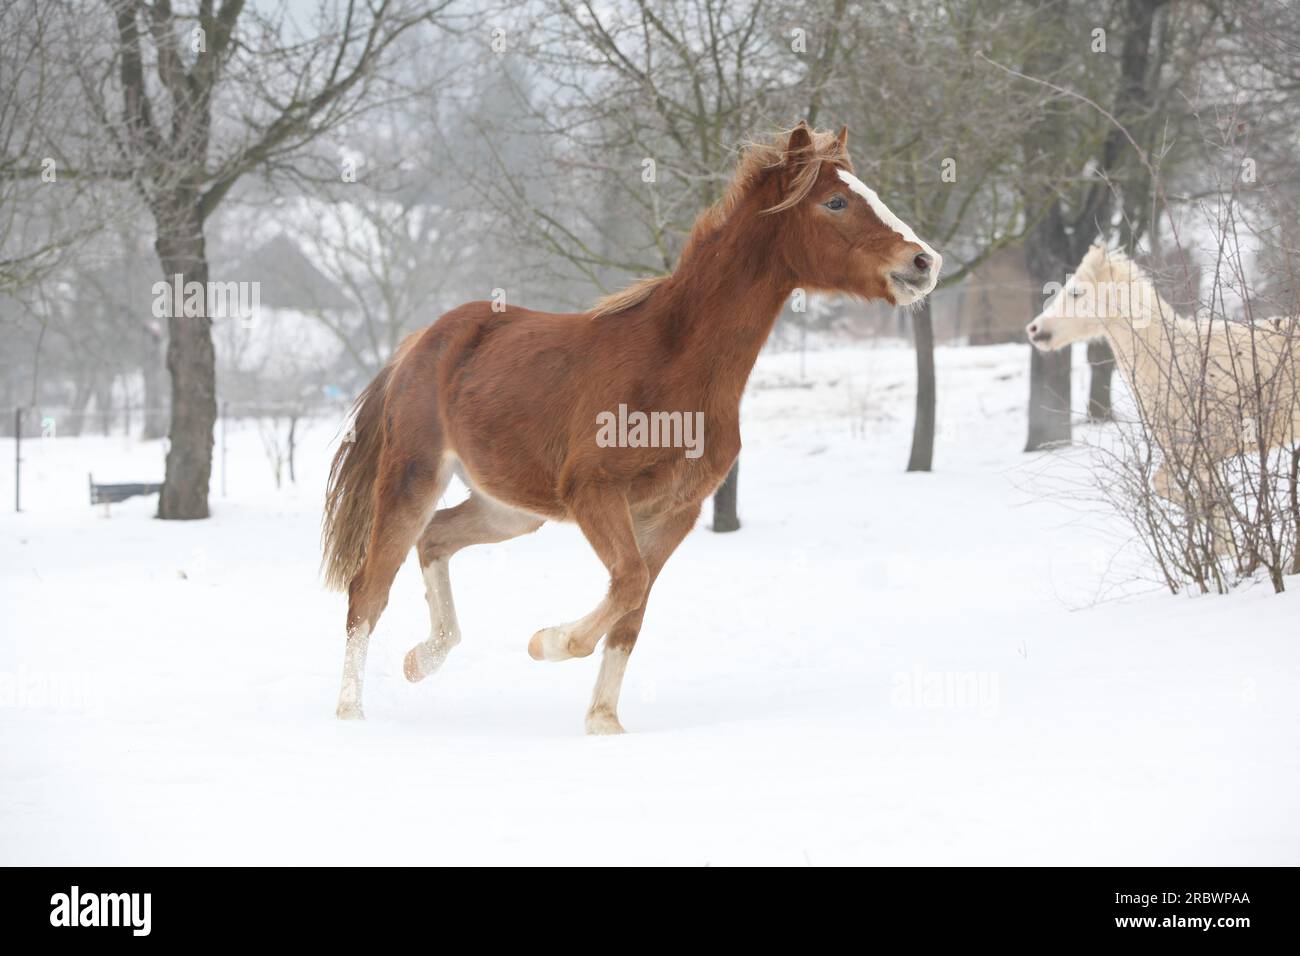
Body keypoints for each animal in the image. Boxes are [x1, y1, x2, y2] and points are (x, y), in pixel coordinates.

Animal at [321, 122, 941, 734]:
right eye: (835, 201)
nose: (924, 263)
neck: (673, 365)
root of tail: (419, 343)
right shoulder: (595, 493)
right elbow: (628, 582)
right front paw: (546, 642)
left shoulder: (673, 513)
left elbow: (632, 612)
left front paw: (603, 724)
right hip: (414, 476)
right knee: (368, 588)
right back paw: (351, 713)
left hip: (511, 509)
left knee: (435, 539)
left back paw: (421, 660)